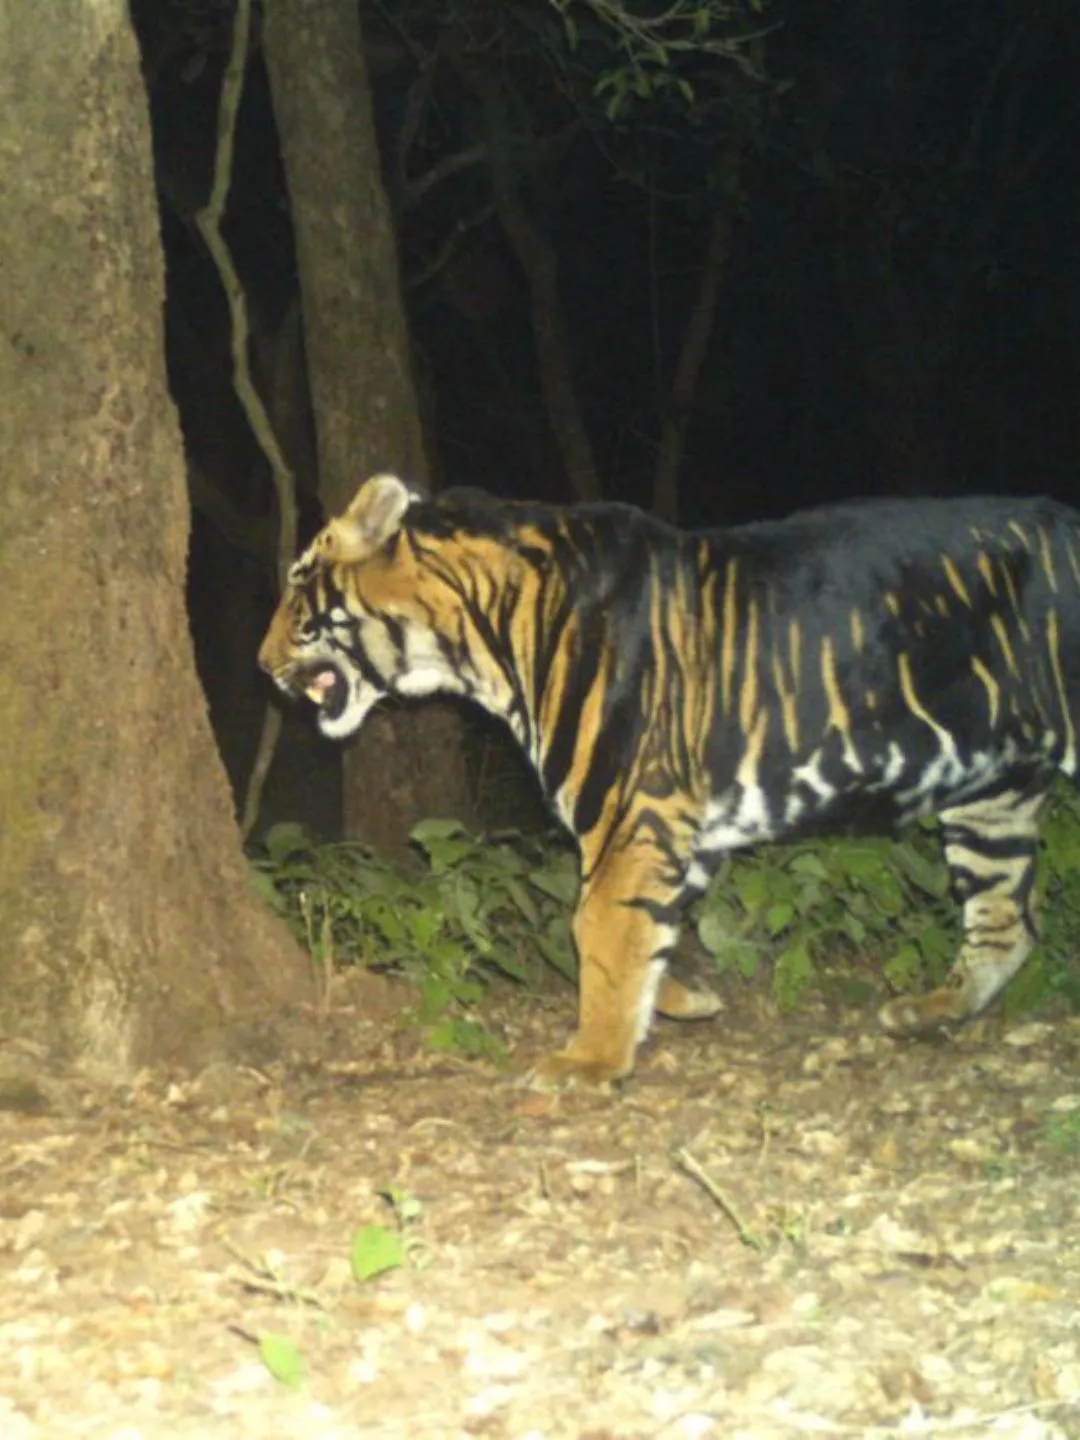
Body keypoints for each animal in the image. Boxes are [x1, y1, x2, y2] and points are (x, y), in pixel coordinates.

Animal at [259, 473, 1080, 1087]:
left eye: (298, 592)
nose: (261, 665)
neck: (484, 638)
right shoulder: (678, 823)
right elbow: (644, 925)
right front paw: (683, 1000)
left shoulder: (631, 807)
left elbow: (596, 923)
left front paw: (589, 1059)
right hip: (992, 798)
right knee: (1007, 921)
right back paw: (932, 1012)